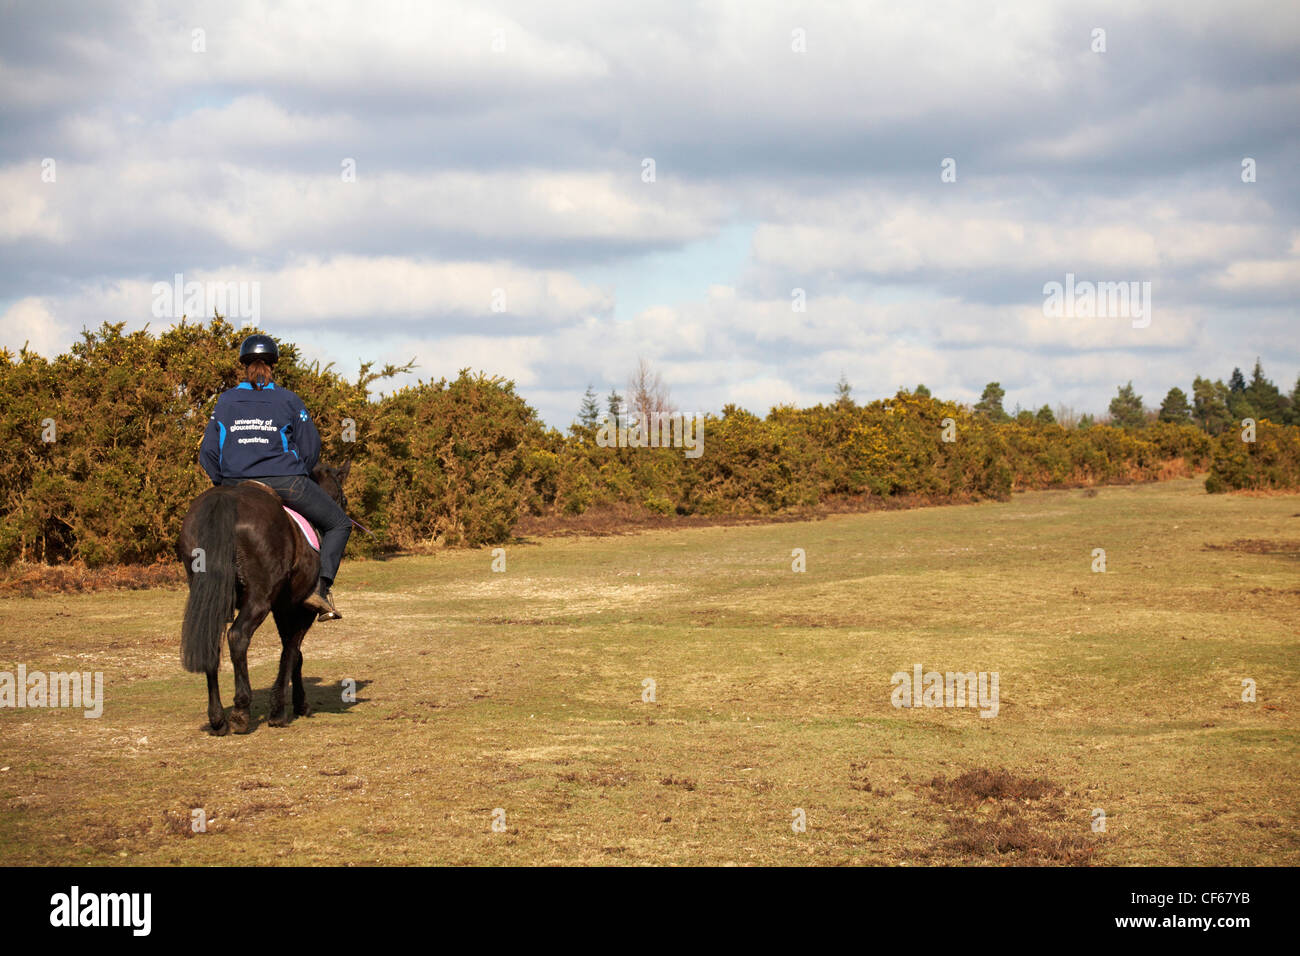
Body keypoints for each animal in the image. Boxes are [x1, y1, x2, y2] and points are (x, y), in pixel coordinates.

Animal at [176, 463, 350, 735]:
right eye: (343, 499)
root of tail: (227, 499)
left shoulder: (283, 608)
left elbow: (294, 653)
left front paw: (298, 703)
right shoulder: (300, 609)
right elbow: (291, 652)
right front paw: (280, 711)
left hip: (210, 599)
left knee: (212, 641)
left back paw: (217, 719)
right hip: (259, 600)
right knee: (237, 637)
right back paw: (240, 712)